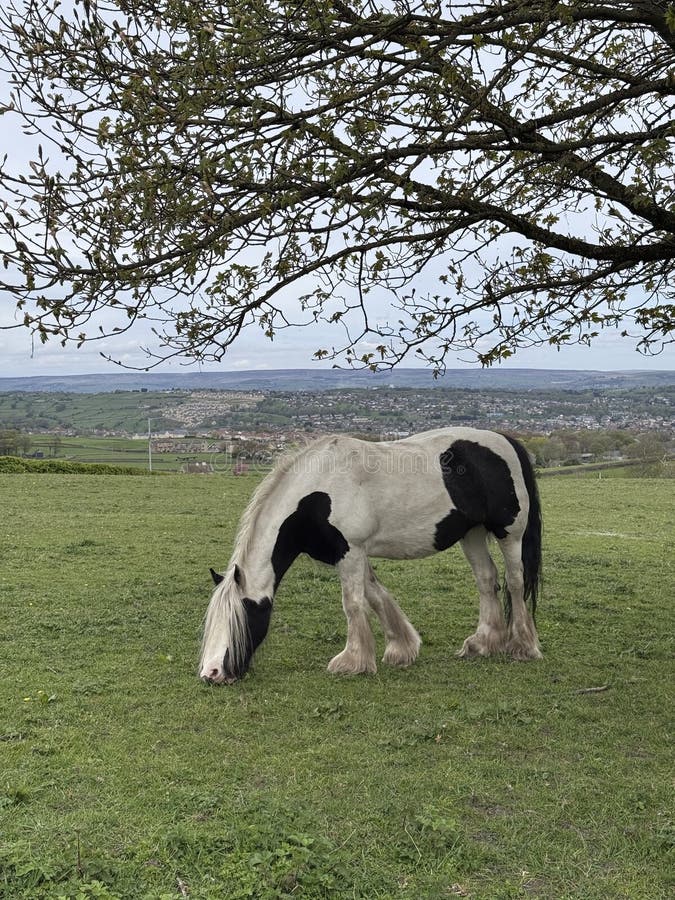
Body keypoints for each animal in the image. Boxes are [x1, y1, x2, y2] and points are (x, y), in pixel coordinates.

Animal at [199, 427, 542, 684]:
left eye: (240, 617)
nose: (211, 673)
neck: (318, 493)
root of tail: (507, 441)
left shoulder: (349, 551)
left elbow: (352, 603)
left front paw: (352, 661)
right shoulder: (352, 553)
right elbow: (375, 596)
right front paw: (401, 648)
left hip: (509, 533)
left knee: (514, 582)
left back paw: (523, 646)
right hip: (471, 534)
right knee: (487, 580)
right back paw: (482, 643)